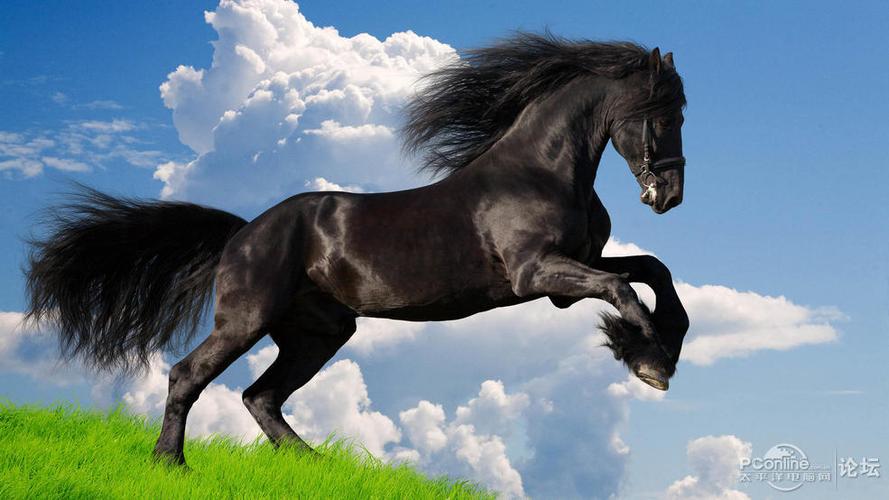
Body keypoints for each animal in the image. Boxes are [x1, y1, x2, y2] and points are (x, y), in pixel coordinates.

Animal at [25, 33, 689, 466]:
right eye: (662, 115)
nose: (670, 196)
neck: (541, 172)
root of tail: (242, 234)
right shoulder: (536, 276)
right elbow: (625, 288)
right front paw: (649, 361)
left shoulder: (565, 279)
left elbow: (654, 272)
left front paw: (660, 348)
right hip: (248, 319)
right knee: (189, 374)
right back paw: (170, 462)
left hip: (319, 332)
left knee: (260, 396)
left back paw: (314, 463)